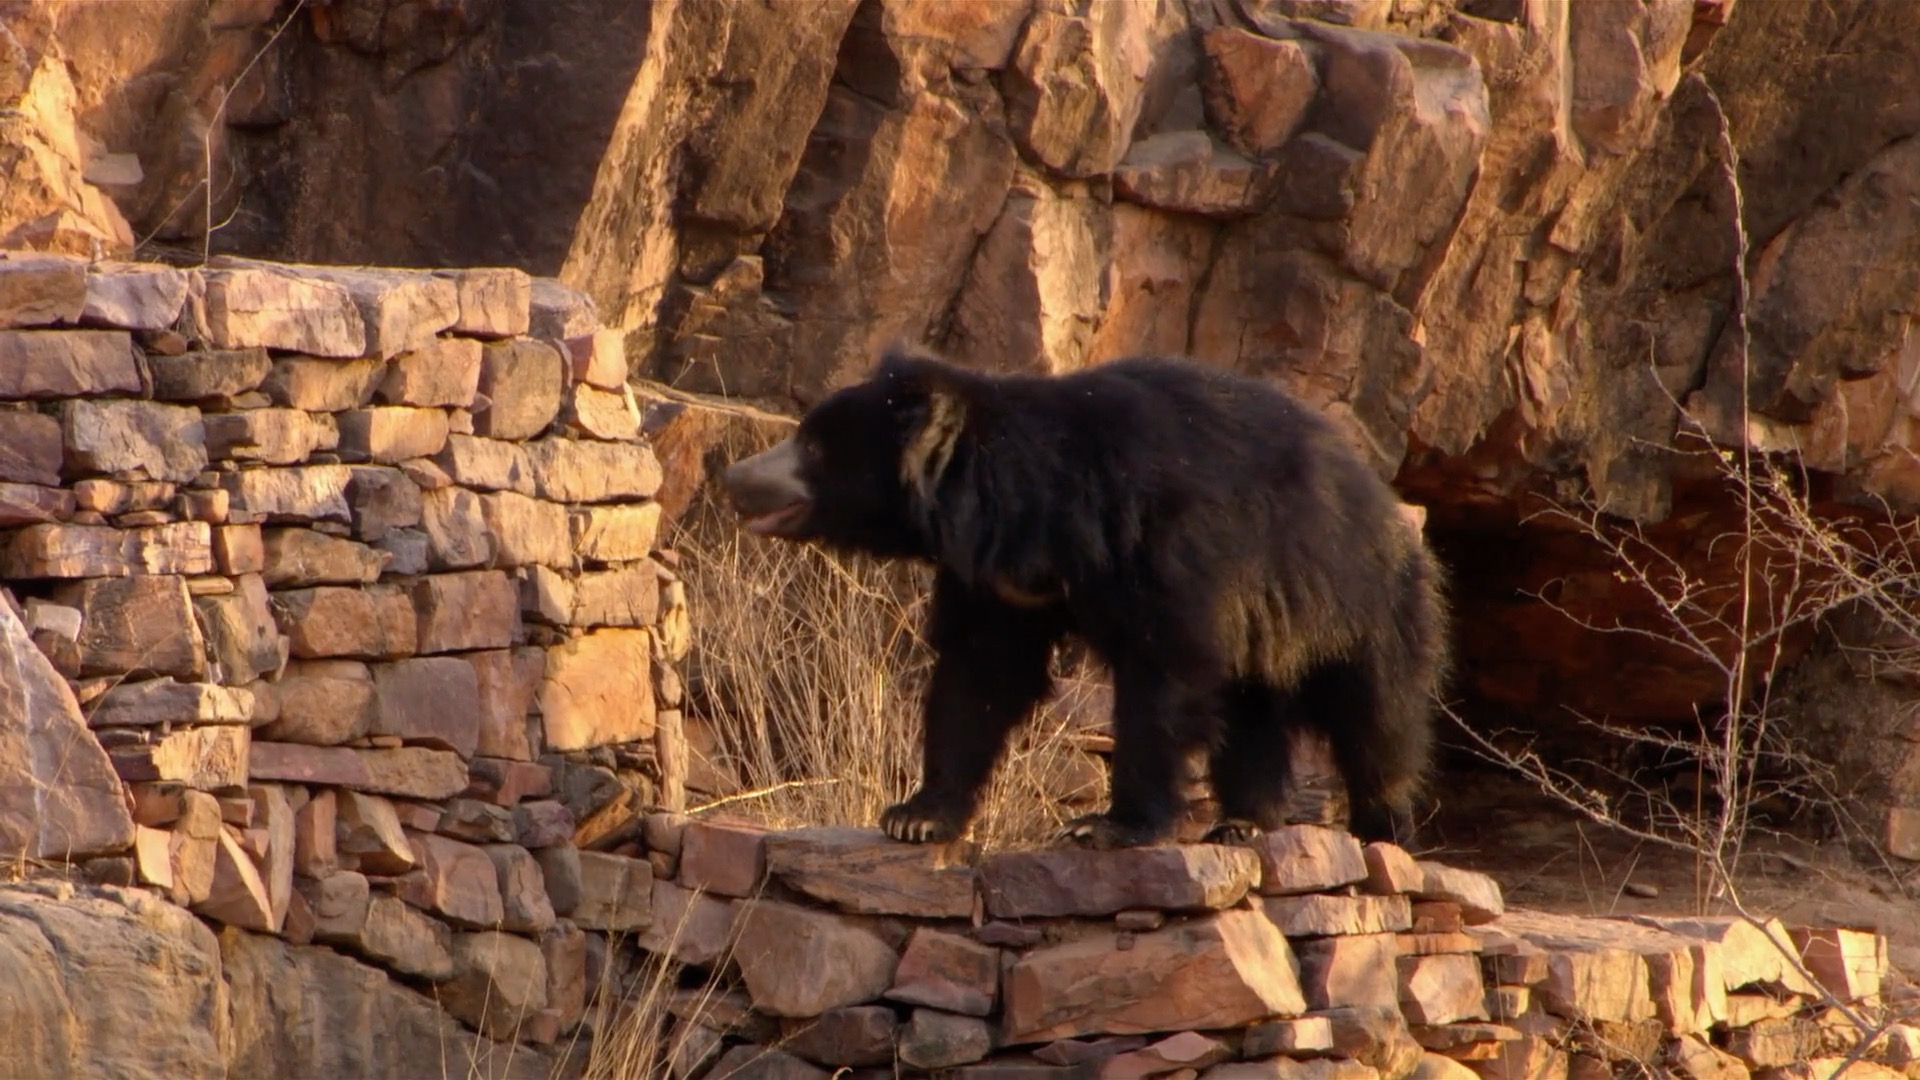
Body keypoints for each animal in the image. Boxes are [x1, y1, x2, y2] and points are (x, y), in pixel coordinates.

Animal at [720, 344, 1451, 850]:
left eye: (814, 446)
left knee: (1375, 717)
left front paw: (1107, 826)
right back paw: (1245, 821)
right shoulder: (999, 579)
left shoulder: (1172, 542)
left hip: (1359, 603)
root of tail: (1393, 510)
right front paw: (916, 816)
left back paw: (1384, 828)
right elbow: (980, 672)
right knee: (1252, 711)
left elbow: (1165, 675)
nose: (732, 475)